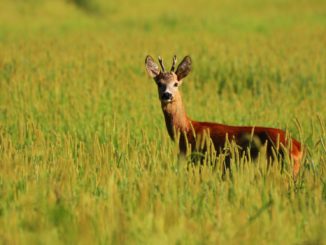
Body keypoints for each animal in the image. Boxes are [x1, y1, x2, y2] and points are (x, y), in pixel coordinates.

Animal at [145, 55, 304, 178]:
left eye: (176, 83)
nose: (167, 95)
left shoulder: (198, 159)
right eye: (159, 83)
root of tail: (299, 147)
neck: (187, 129)